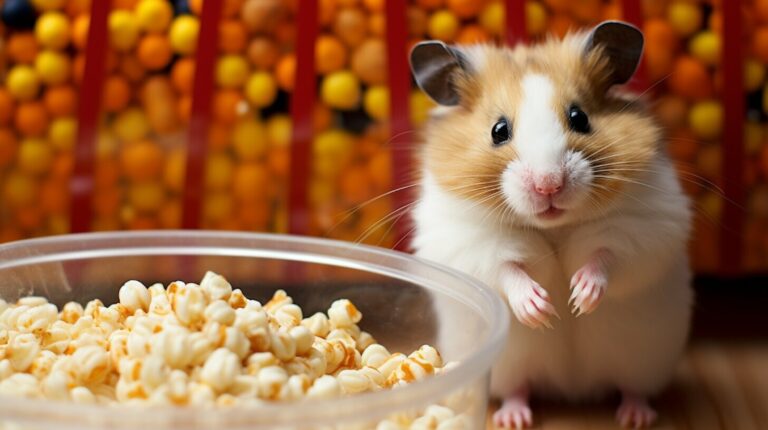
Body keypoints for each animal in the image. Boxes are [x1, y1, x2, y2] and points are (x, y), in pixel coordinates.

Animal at [408, 22, 693, 429]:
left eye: (580, 118)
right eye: (498, 130)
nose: (548, 185)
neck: (553, 227)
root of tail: (573, 390)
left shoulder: (643, 228)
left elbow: (606, 257)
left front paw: (580, 299)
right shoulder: (471, 241)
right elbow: (508, 270)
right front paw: (540, 311)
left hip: (643, 361)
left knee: (632, 388)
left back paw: (635, 416)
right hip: (509, 366)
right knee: (519, 388)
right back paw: (513, 418)